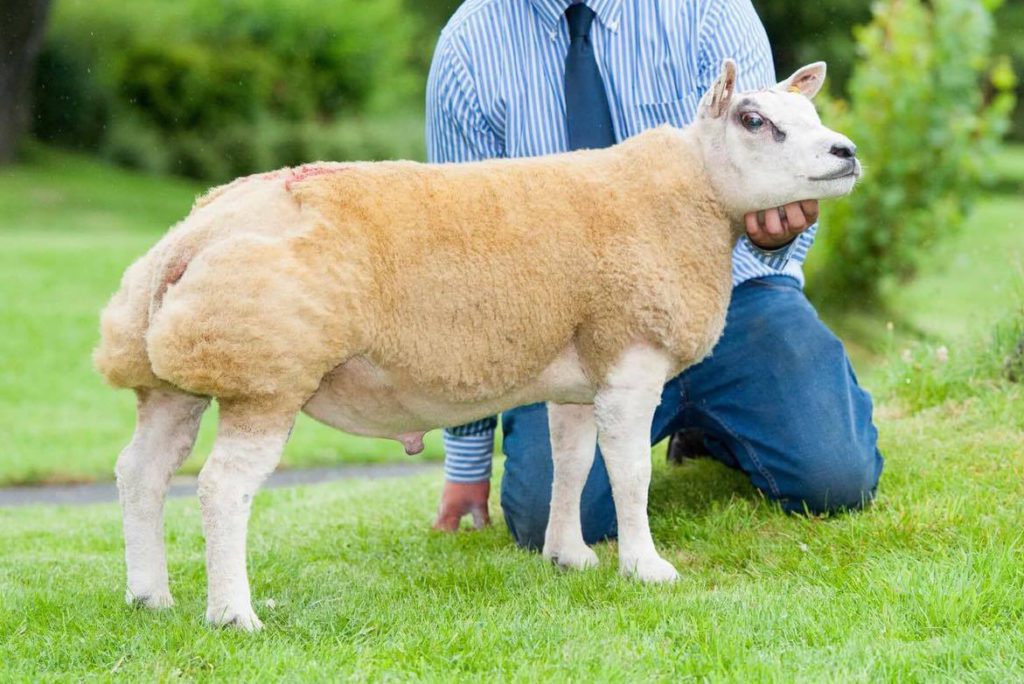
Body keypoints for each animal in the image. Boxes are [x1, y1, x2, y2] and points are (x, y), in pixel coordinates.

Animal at [94, 59, 860, 630]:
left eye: (811, 117)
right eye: (754, 121)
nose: (846, 153)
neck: (689, 195)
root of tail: (192, 238)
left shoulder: (580, 373)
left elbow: (571, 465)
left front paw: (569, 555)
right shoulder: (630, 356)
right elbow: (629, 475)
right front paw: (645, 567)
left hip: (174, 379)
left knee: (141, 473)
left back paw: (149, 595)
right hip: (266, 371)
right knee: (222, 488)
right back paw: (233, 614)